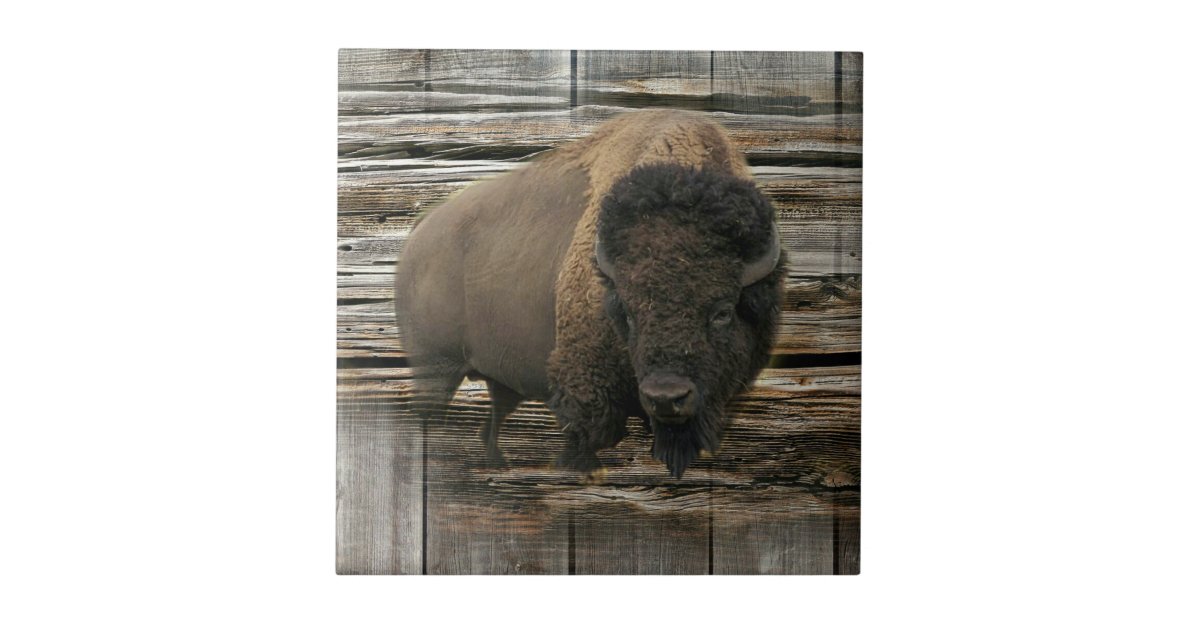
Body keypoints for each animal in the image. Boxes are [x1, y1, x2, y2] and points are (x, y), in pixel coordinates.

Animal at [395, 109, 785, 478]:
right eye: (627, 311)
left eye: (722, 312)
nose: (666, 397)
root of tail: (420, 230)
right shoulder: (586, 392)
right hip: (435, 369)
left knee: (489, 427)